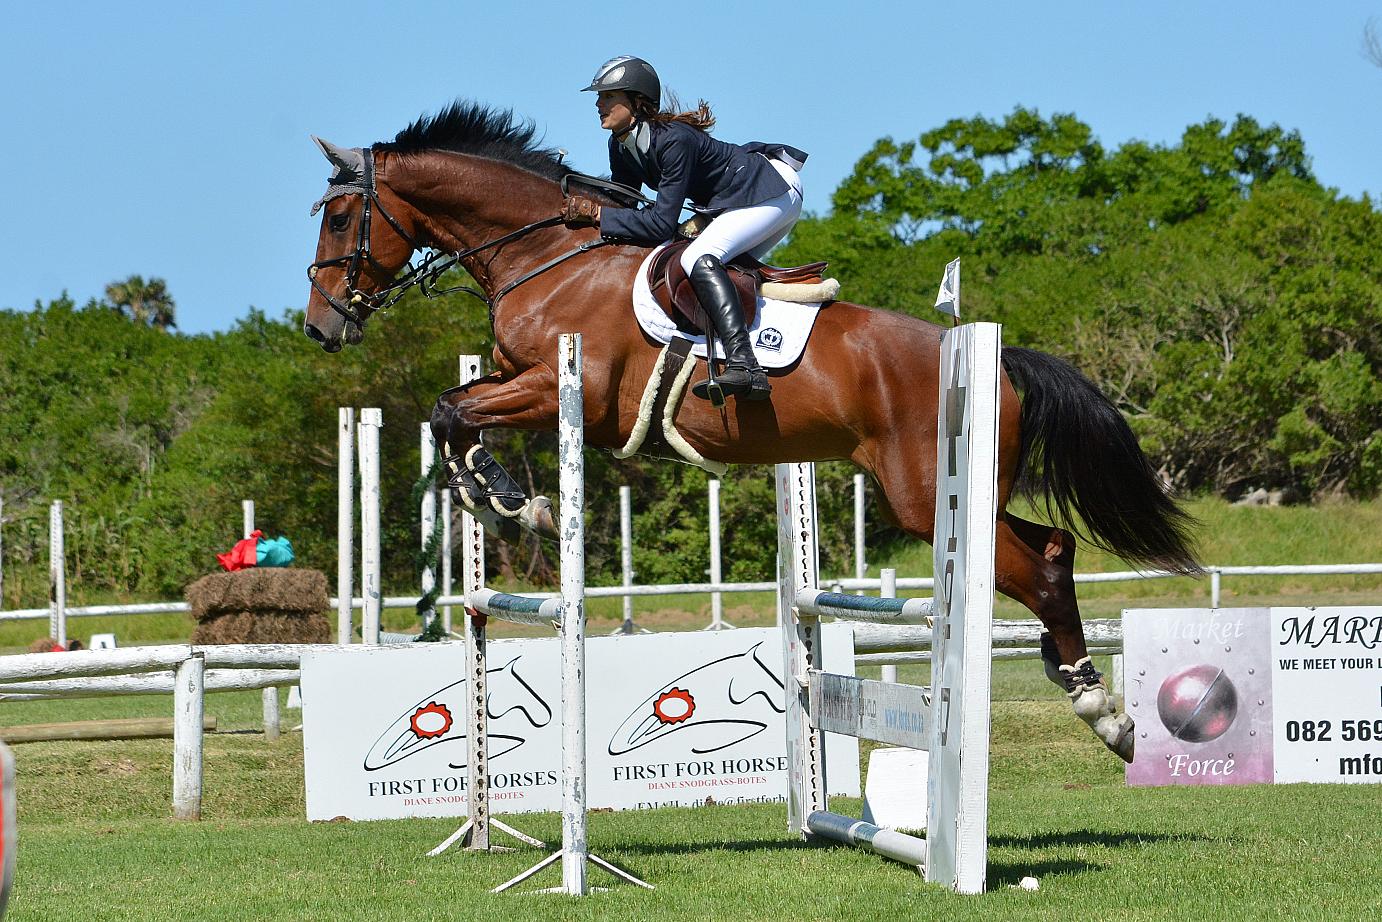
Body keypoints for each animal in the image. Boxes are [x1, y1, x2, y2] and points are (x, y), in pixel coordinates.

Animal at [303, 102, 1201, 763]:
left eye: (341, 217)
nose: (321, 327)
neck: (548, 254)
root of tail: (997, 359)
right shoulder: (514, 377)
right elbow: (449, 407)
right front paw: (495, 493)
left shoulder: (569, 393)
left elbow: (457, 412)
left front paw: (517, 501)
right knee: (1055, 546)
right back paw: (1083, 687)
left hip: (924, 496)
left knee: (1038, 569)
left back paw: (1102, 709)